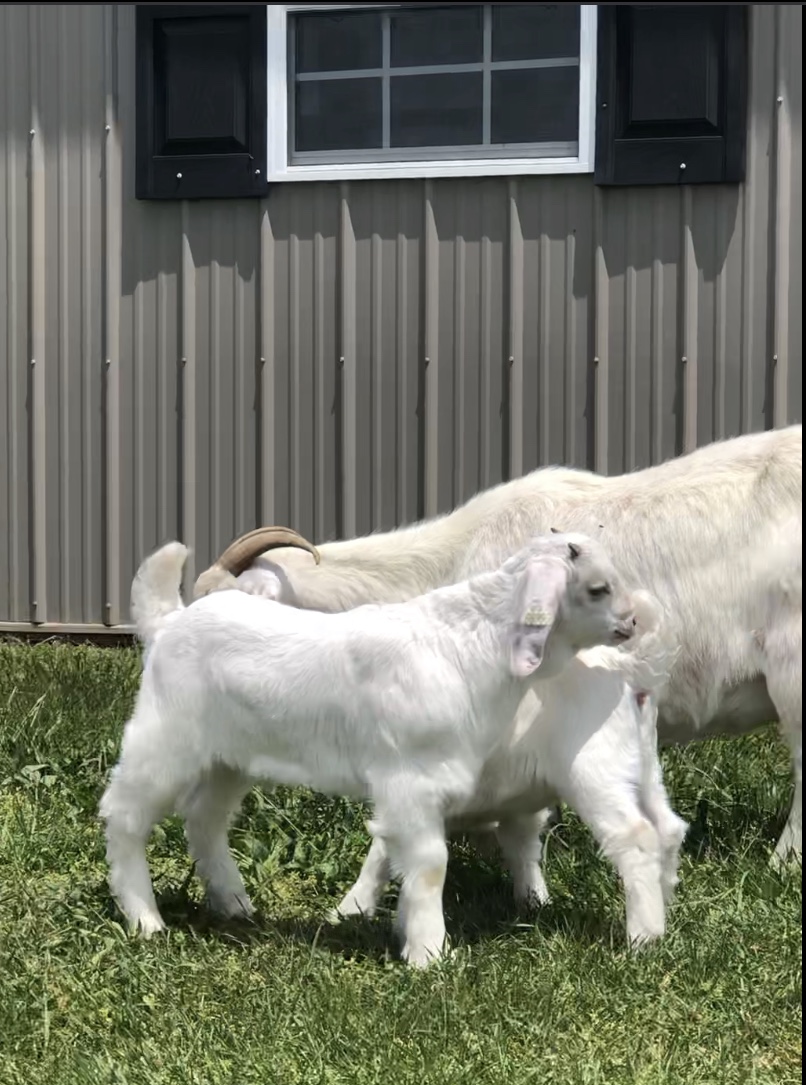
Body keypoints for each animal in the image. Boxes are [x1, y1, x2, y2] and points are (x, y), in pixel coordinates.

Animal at [100, 533, 637, 967]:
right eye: (597, 588)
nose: (632, 624)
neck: (465, 649)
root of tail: (168, 623)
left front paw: (406, 934)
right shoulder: (411, 780)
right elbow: (430, 863)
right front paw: (429, 954)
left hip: (226, 759)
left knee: (205, 819)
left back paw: (235, 905)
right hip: (164, 738)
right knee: (124, 814)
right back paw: (146, 920)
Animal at [332, 590, 689, 946]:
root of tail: (626, 667)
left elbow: (384, 850)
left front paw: (351, 910)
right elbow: (521, 845)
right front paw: (533, 902)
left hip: (595, 771)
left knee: (636, 838)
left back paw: (644, 936)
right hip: (643, 764)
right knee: (668, 828)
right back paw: (664, 905)